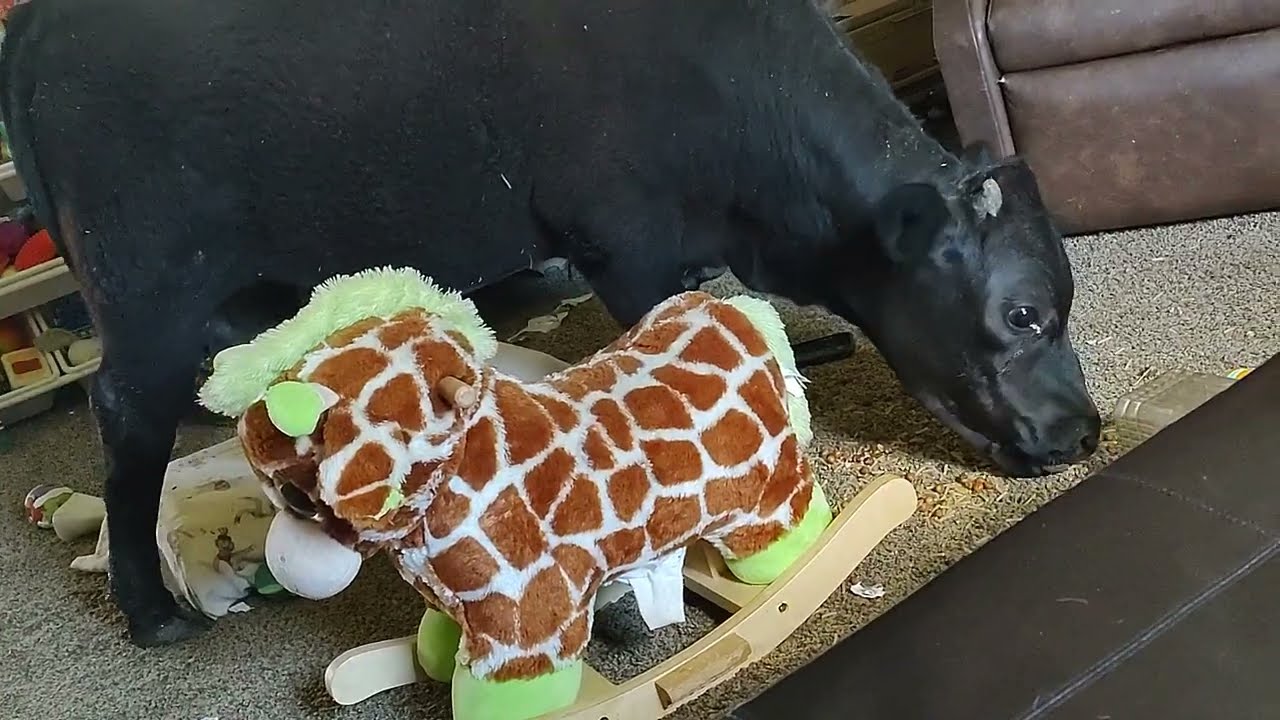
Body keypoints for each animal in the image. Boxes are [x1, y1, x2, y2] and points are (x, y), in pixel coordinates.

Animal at [0, 0, 1100, 647]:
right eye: (1022, 315)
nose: (1084, 432)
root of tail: (42, 21)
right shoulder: (629, 247)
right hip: (148, 294)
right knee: (126, 428)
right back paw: (147, 610)